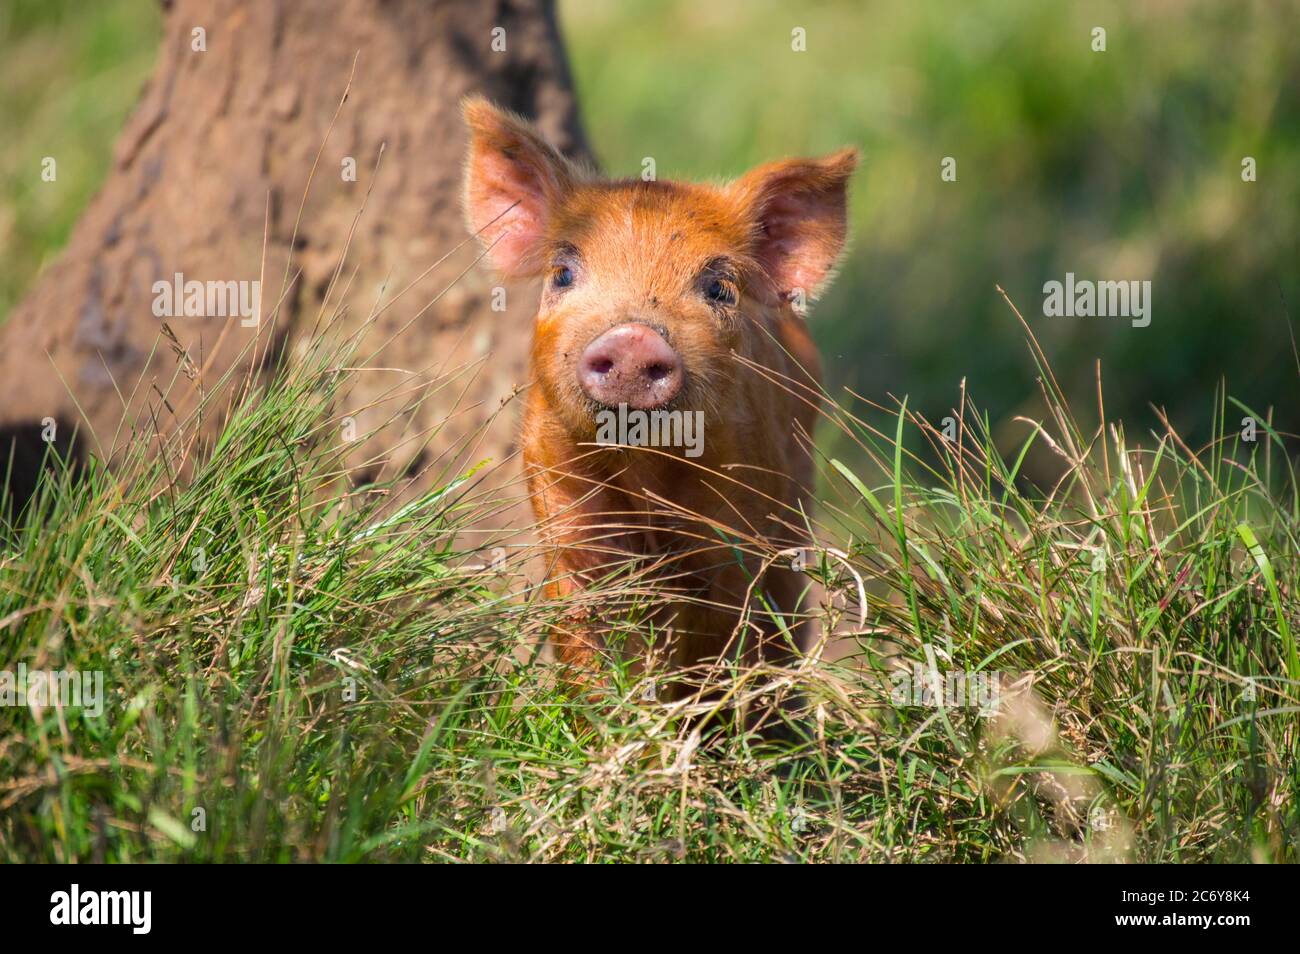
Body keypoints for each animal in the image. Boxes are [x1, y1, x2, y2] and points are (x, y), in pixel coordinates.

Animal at [462, 97, 857, 701]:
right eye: (562, 273)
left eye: (720, 288)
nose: (632, 337)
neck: (644, 472)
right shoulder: (561, 504)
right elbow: (585, 635)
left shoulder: (740, 520)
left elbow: (725, 642)